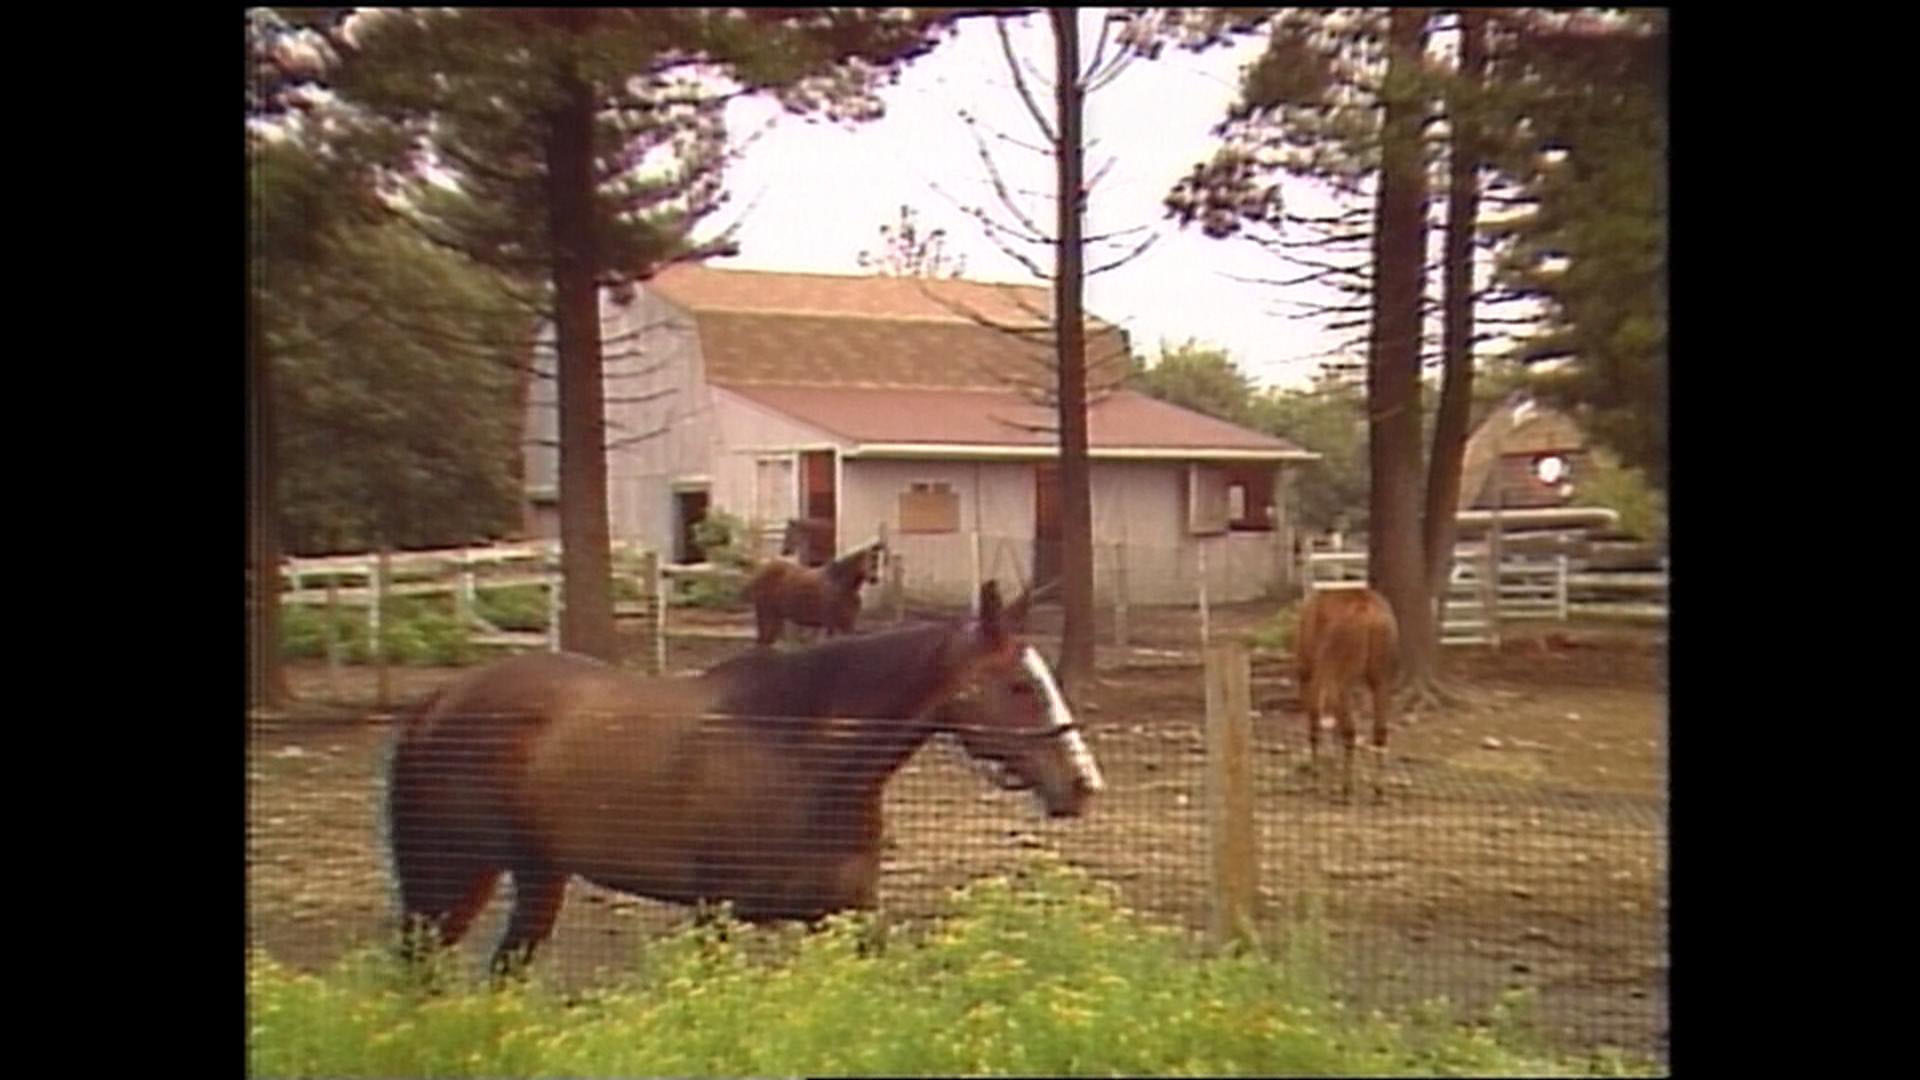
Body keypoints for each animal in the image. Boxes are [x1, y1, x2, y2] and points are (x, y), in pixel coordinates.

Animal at [385, 579, 1102, 976]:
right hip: (449, 879)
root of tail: (440, 700)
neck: (801, 758)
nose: (1082, 783)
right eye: (1018, 686)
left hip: (537, 877)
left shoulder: (847, 917)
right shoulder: (717, 916)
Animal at [745, 539, 885, 646]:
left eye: (877, 562)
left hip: (776, 618)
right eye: (870, 561)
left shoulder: (846, 625)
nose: (874, 579)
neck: (840, 583)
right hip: (767, 616)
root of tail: (760, 572)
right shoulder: (839, 625)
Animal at [1296, 586, 1400, 800]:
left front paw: (1315, 781)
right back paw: (1378, 790)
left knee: (1349, 731)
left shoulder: (1311, 676)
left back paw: (1346, 788)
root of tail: (1369, 613)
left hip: (1342, 679)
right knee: (1379, 730)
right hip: (1381, 678)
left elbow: (1316, 726)